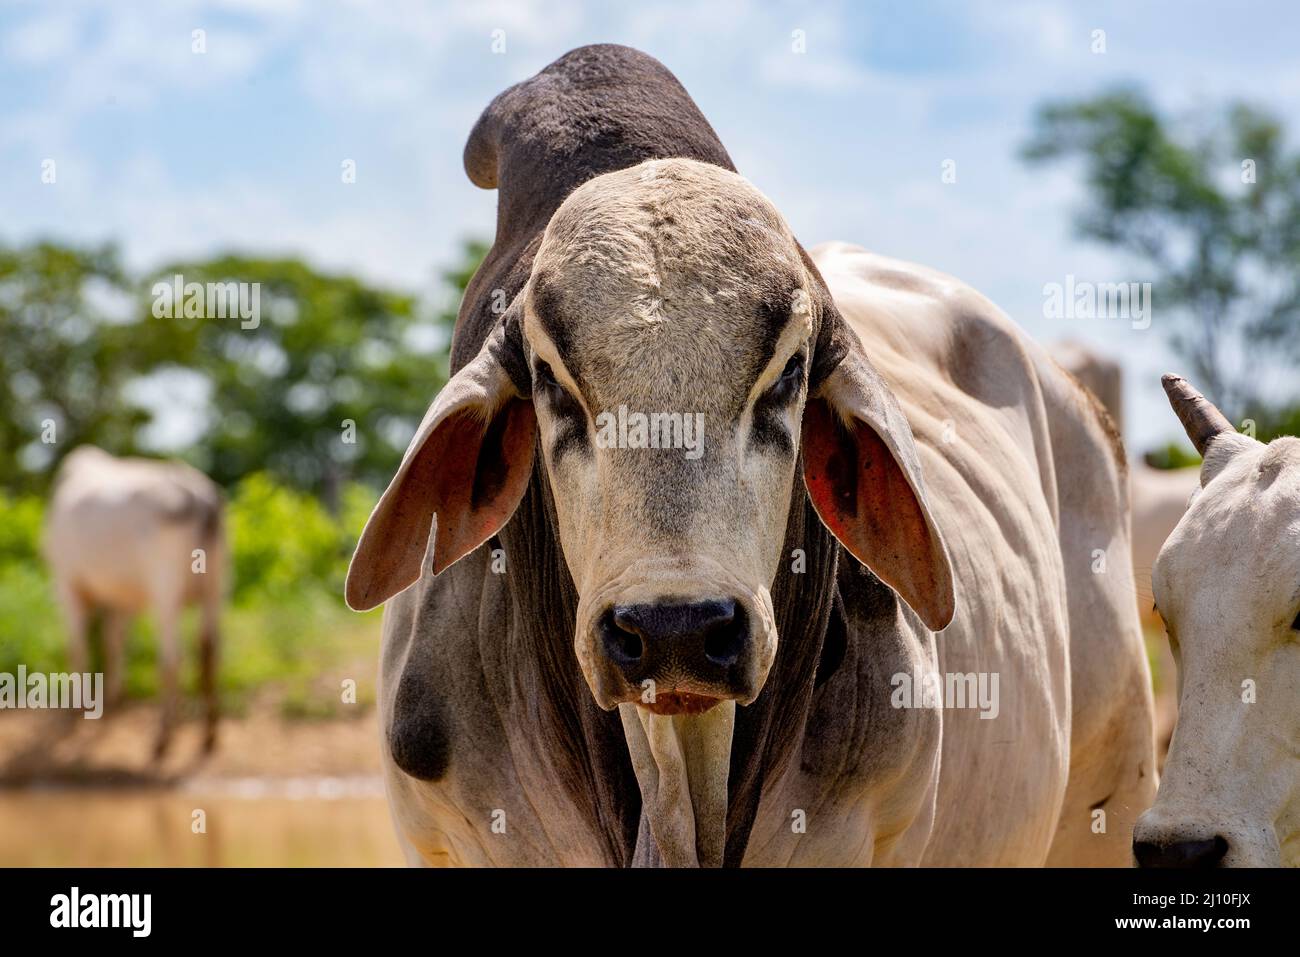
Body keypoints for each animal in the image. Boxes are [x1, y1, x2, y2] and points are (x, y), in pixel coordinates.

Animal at [43, 446, 225, 756]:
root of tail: (200, 498)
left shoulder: (69, 583)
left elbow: (78, 648)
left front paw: (76, 706)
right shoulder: (120, 597)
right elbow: (113, 642)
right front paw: (113, 698)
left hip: (166, 590)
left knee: (172, 658)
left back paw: (163, 735)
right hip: (216, 588)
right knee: (208, 650)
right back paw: (209, 733)